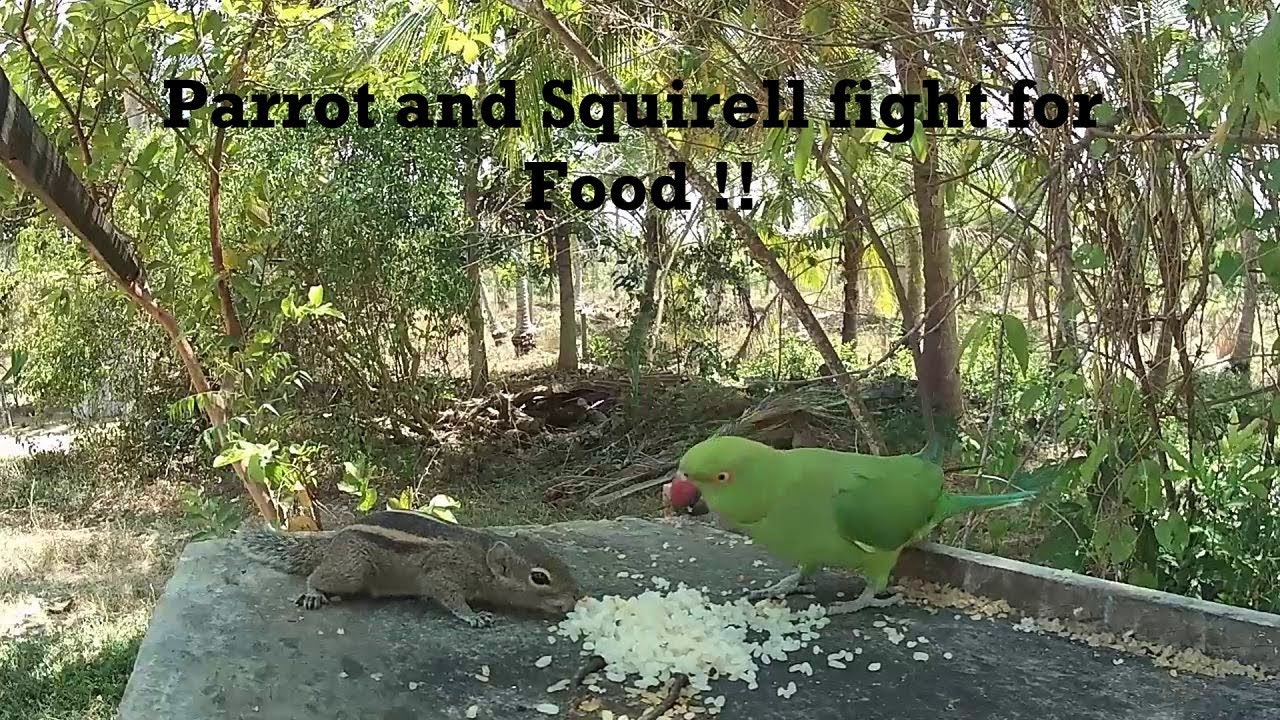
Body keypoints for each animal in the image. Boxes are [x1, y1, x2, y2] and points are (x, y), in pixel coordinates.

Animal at [237, 509, 582, 628]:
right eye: (539, 578)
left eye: (557, 558)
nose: (574, 600)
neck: (480, 556)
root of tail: (337, 537)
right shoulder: (443, 574)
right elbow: (449, 597)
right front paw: (473, 616)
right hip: (352, 570)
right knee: (317, 575)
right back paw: (312, 592)